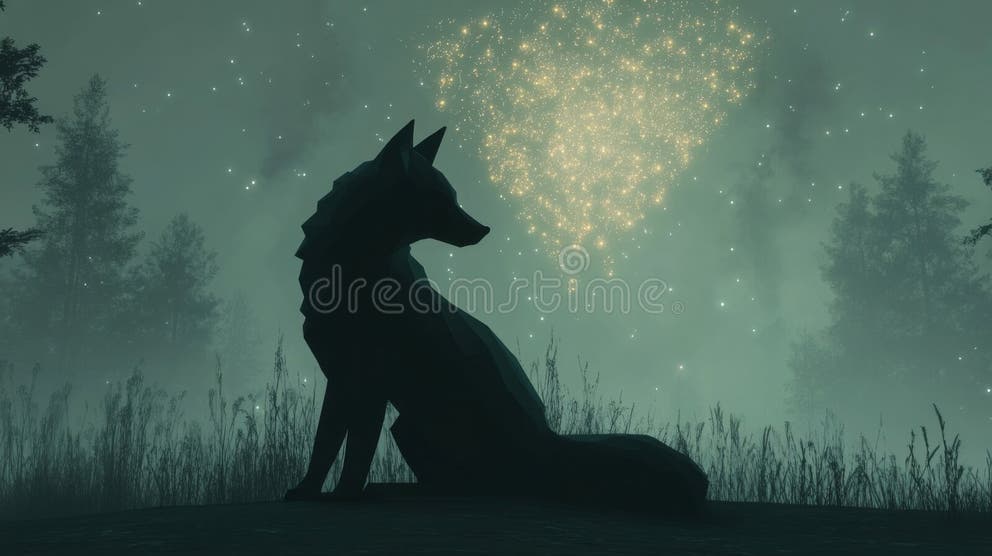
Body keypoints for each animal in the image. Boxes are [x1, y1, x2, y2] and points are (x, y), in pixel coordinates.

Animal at [285, 120, 708, 514]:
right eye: (438, 198)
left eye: (453, 196)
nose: (484, 229)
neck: (352, 271)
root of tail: (548, 443)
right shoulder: (341, 378)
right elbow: (324, 444)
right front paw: (305, 491)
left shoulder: (372, 381)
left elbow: (356, 449)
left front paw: (344, 496)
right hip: (406, 426)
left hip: (420, 424)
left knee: (485, 485)